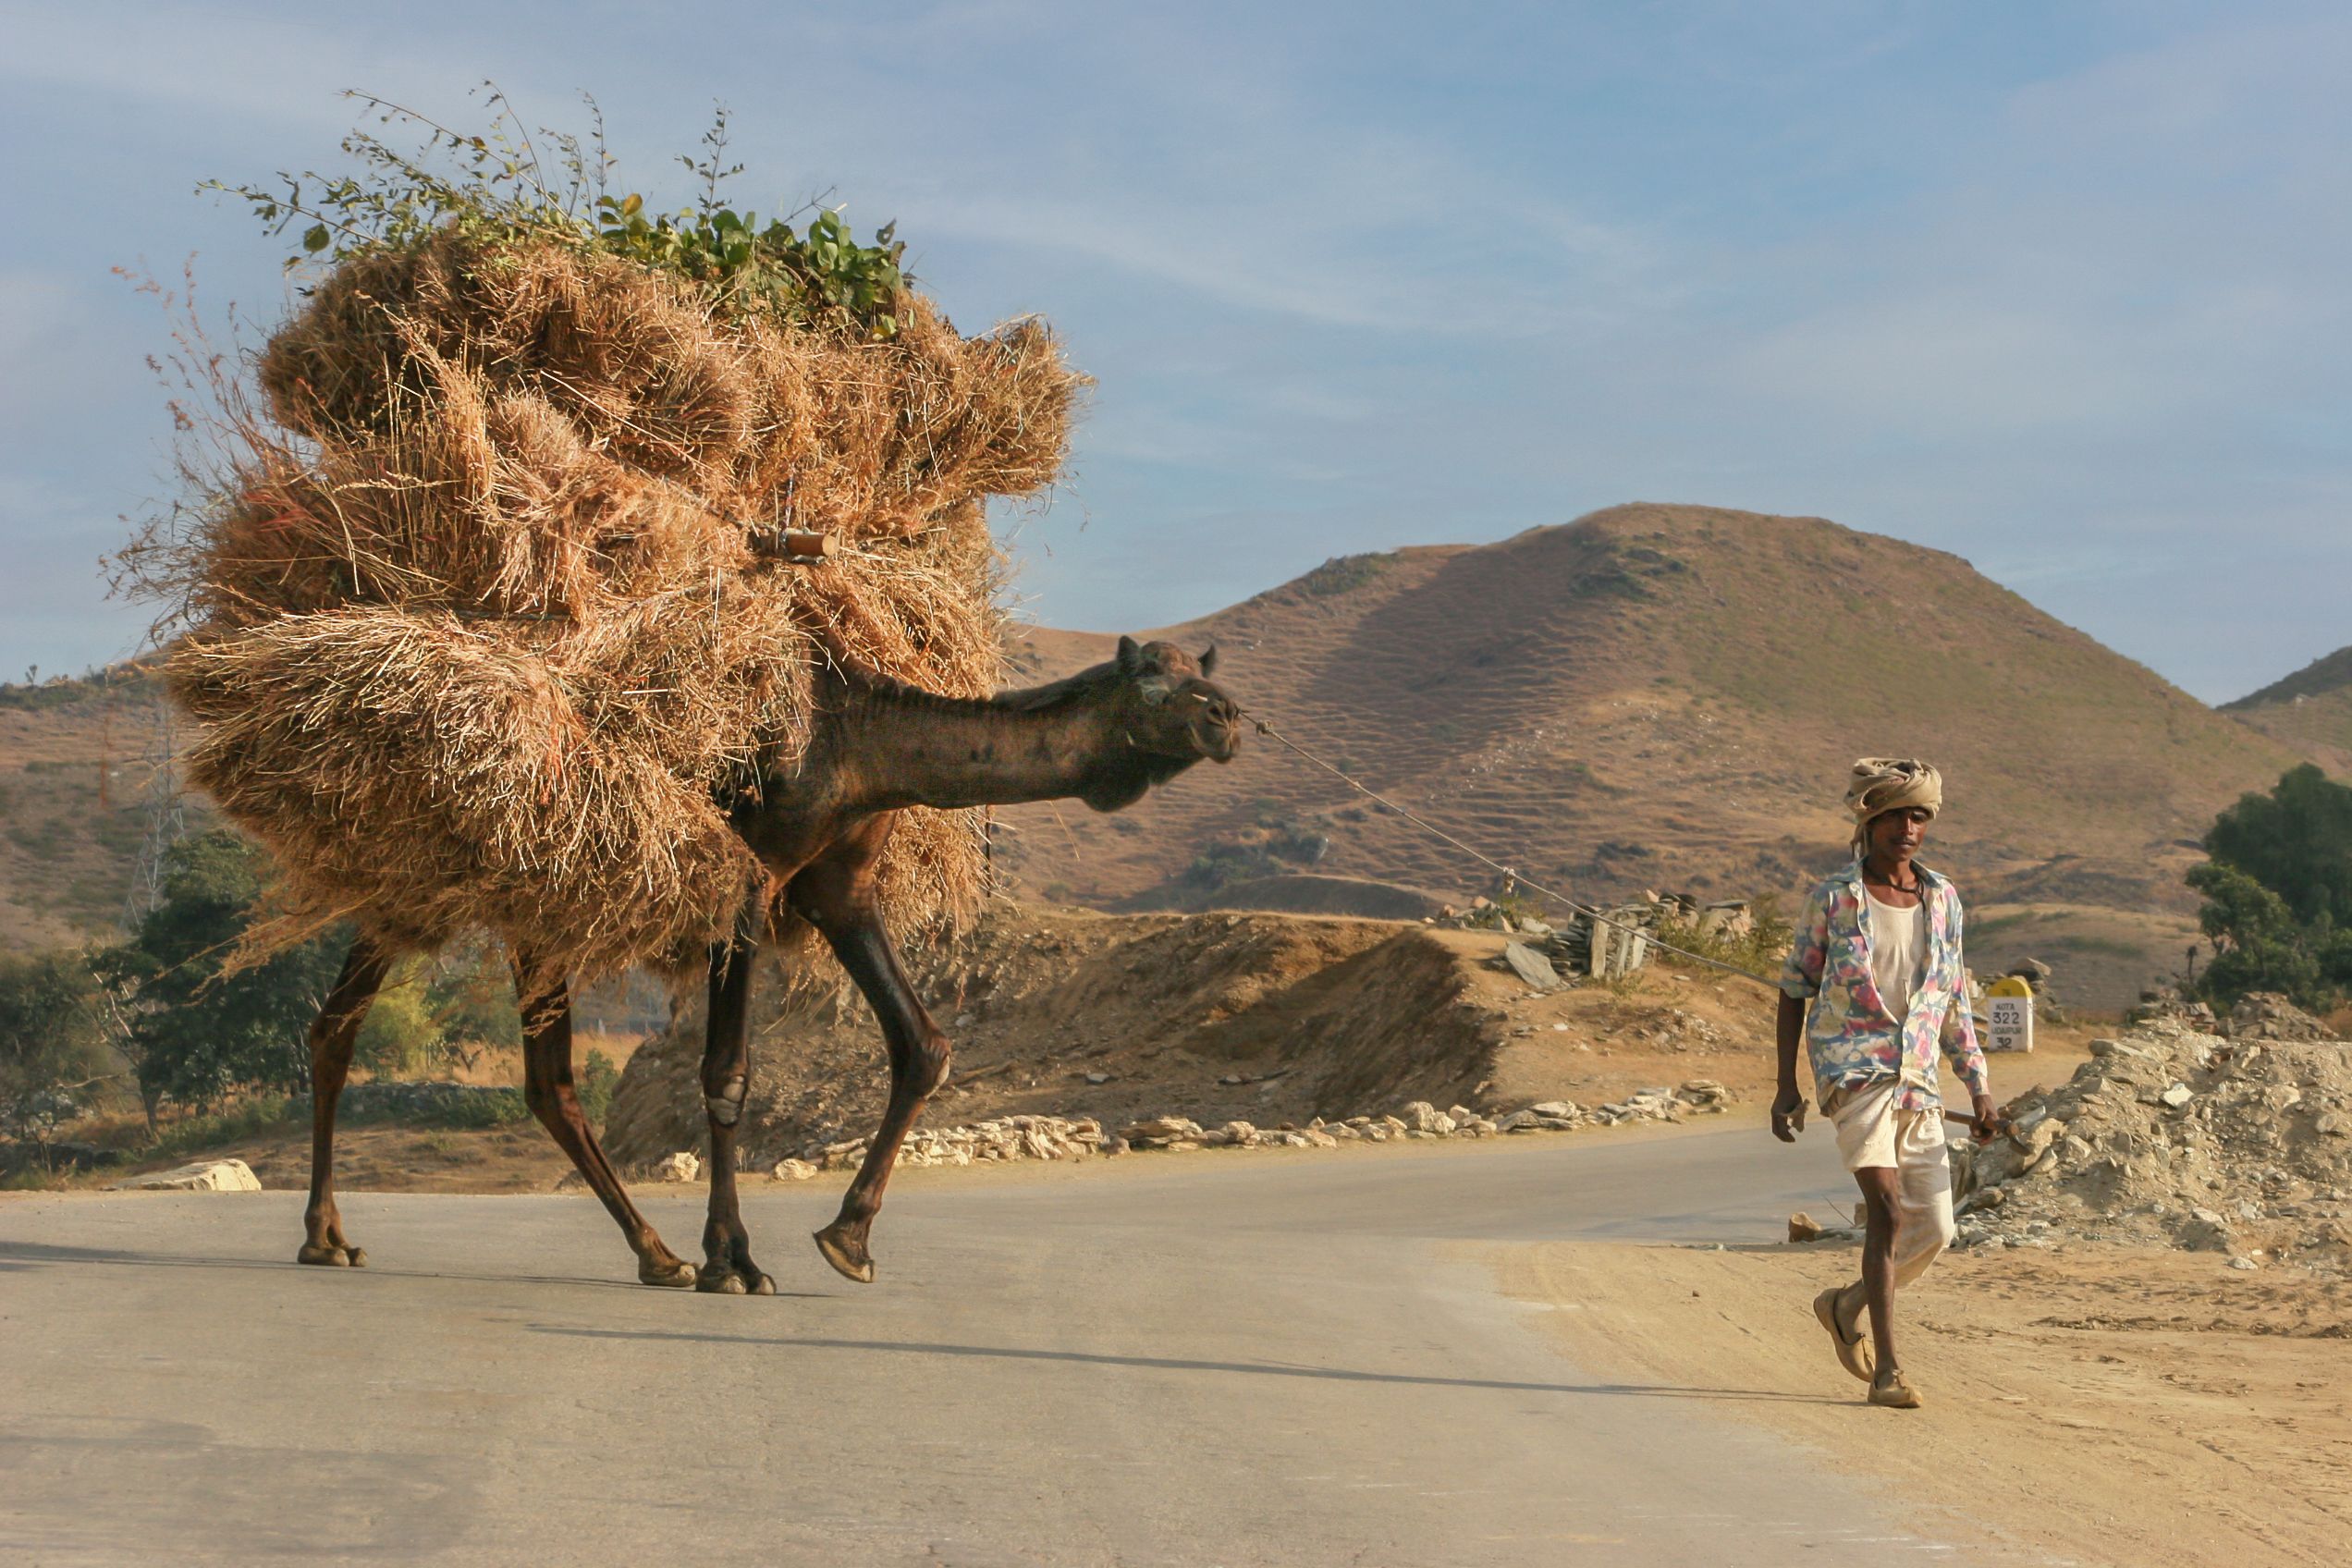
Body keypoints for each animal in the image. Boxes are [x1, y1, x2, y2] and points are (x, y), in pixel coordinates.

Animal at [291, 636, 1241, 1291]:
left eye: (1203, 671)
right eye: (1154, 682)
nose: (1227, 718)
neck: (857, 743)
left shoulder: (837, 886)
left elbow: (924, 1046)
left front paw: (848, 1242)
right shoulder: (743, 882)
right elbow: (726, 1072)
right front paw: (735, 1261)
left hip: (512, 897)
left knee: (493, 1067)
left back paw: (643, 1254)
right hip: (467, 881)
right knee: (381, 1034)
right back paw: (329, 1236)